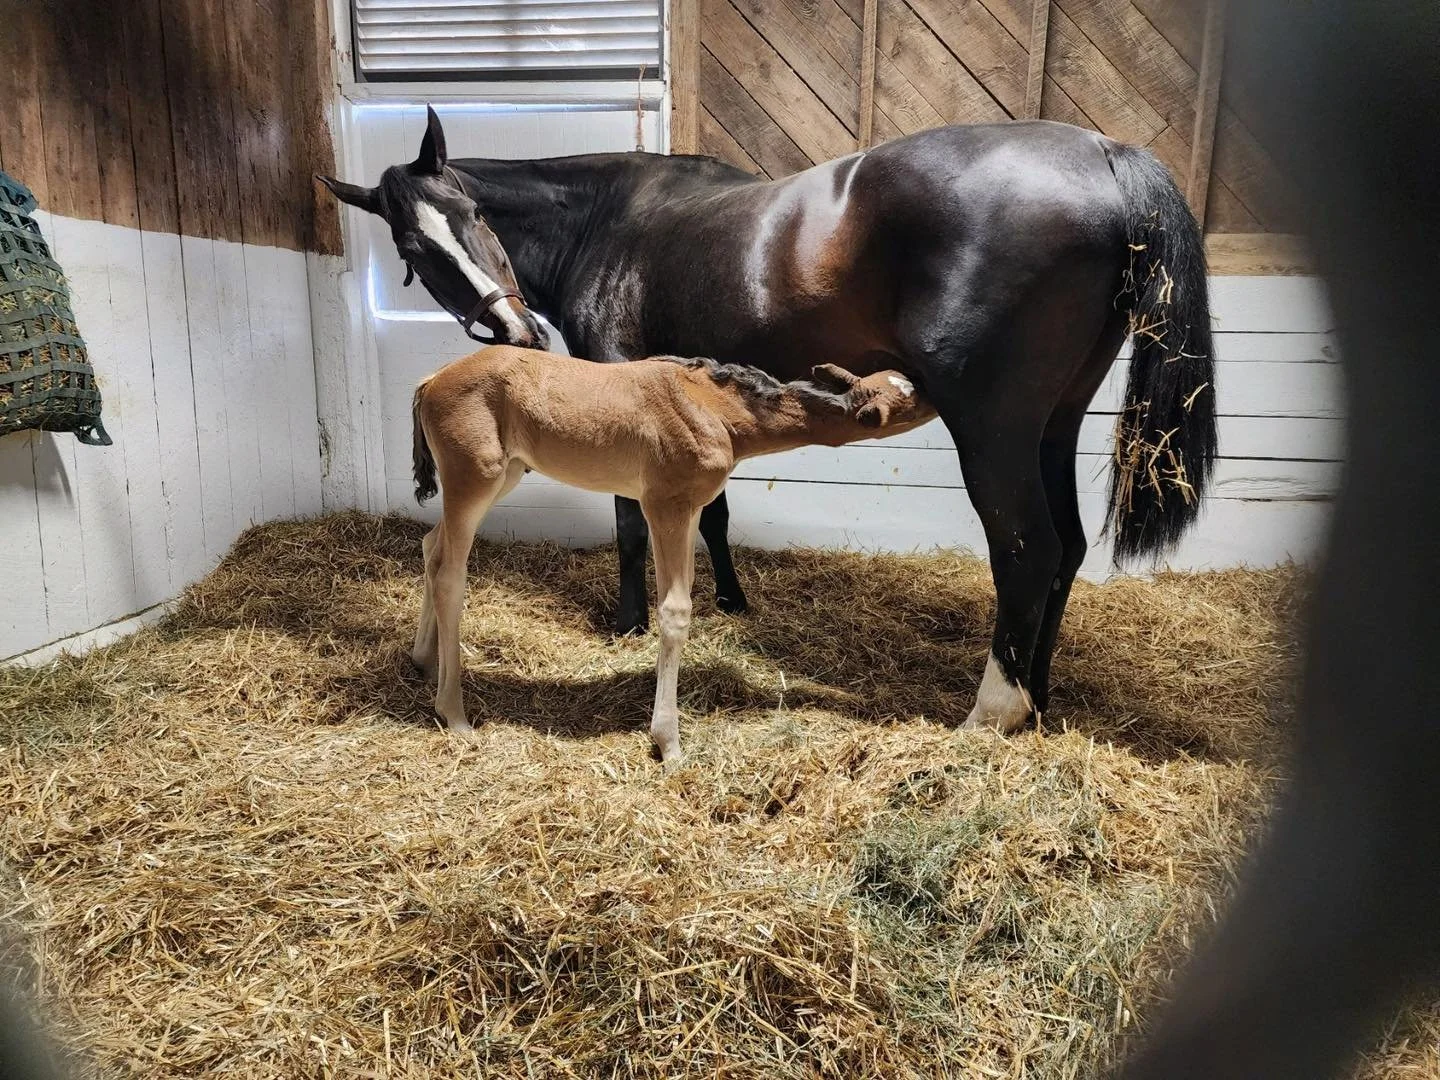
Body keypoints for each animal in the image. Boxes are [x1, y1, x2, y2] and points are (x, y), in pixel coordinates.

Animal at [409, 348, 934, 765]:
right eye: (908, 401)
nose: (939, 394)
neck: (715, 408)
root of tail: (430, 380)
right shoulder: (665, 503)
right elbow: (675, 612)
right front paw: (669, 744)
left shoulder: (690, 508)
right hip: (474, 476)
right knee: (451, 571)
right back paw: (454, 713)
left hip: (507, 474)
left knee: (432, 546)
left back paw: (424, 661)